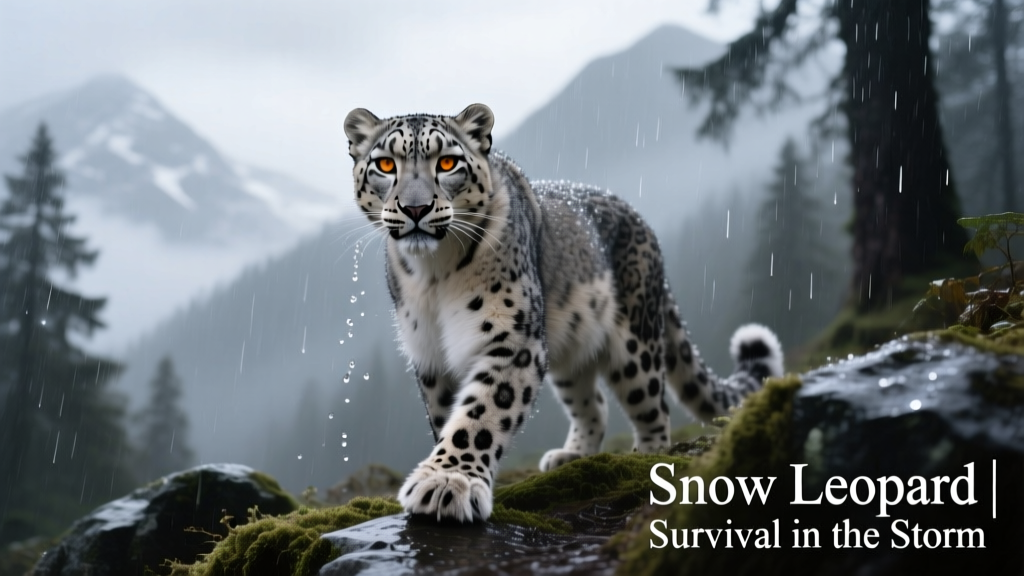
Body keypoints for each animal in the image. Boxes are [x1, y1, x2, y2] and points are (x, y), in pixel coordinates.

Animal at [343, 103, 784, 523]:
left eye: (448, 163)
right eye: (386, 165)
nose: (415, 208)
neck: (435, 275)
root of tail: (645, 227)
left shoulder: (513, 340)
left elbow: (481, 414)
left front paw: (449, 482)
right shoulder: (430, 354)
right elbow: (448, 416)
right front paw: (447, 474)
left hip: (635, 346)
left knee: (653, 405)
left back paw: (648, 458)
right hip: (571, 354)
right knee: (594, 404)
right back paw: (571, 456)